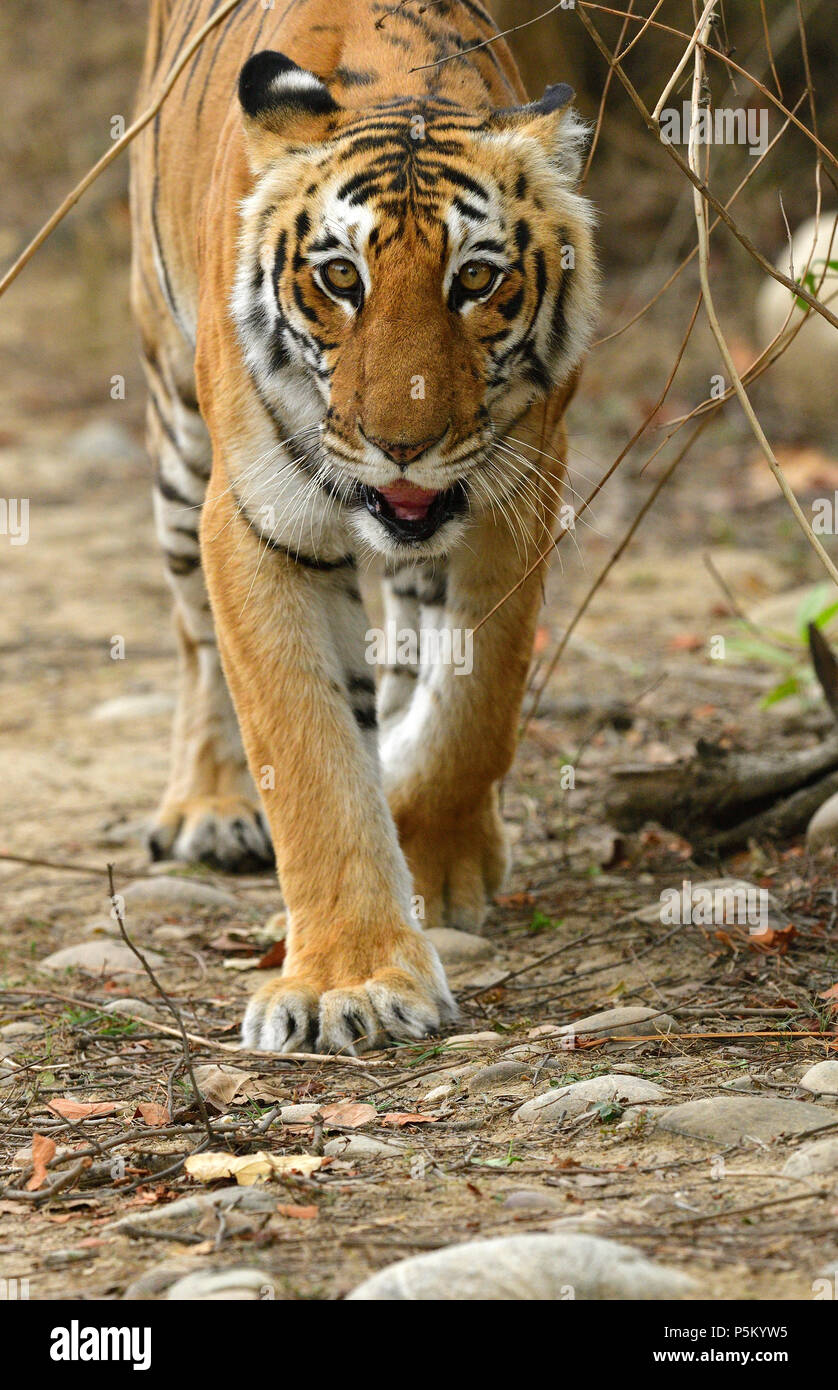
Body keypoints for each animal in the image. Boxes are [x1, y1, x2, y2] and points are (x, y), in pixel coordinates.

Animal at [130, 0, 598, 1053]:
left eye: (477, 280)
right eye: (340, 278)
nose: (401, 446)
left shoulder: (520, 485)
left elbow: (478, 700)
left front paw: (438, 858)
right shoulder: (258, 519)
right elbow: (308, 756)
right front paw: (350, 982)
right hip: (176, 438)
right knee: (191, 636)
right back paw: (211, 804)